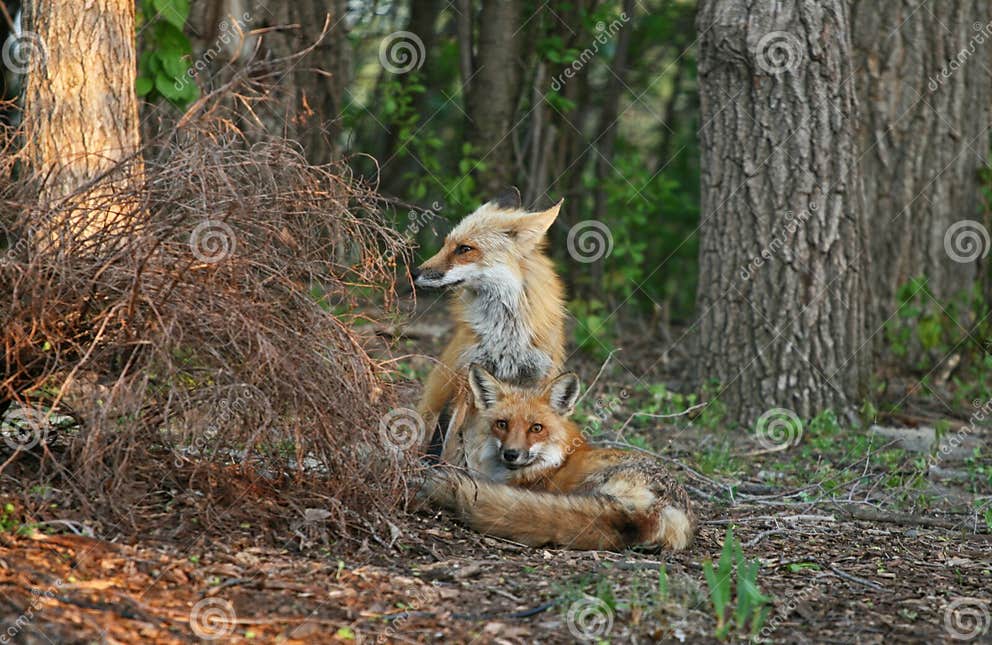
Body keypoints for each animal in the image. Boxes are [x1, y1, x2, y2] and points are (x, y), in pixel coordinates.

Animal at [411, 189, 567, 464]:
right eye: (446, 244)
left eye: (465, 249)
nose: (414, 272)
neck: (506, 334)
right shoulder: (465, 377)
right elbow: (445, 440)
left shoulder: (538, 378)